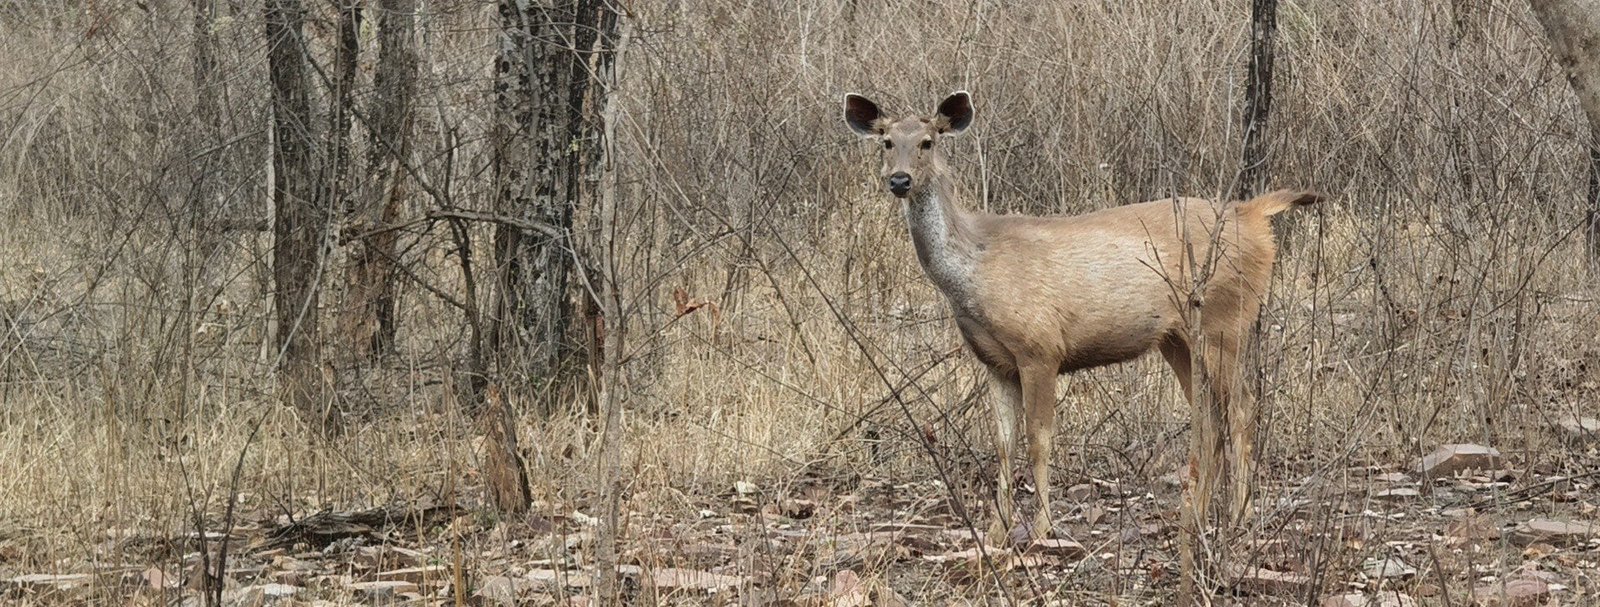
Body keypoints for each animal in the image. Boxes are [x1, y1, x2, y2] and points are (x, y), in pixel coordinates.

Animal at [841, 90, 1320, 548]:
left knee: (1241, 406)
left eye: (927, 141)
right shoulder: (994, 363)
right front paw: (996, 532)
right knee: (1209, 414)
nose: (899, 180)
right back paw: (1202, 513)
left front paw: (1042, 528)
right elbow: (1002, 445)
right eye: (886, 141)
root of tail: (1251, 214)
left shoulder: (1040, 347)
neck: (976, 270)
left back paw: (1240, 516)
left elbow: (1039, 438)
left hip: (1226, 318)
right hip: (1179, 337)